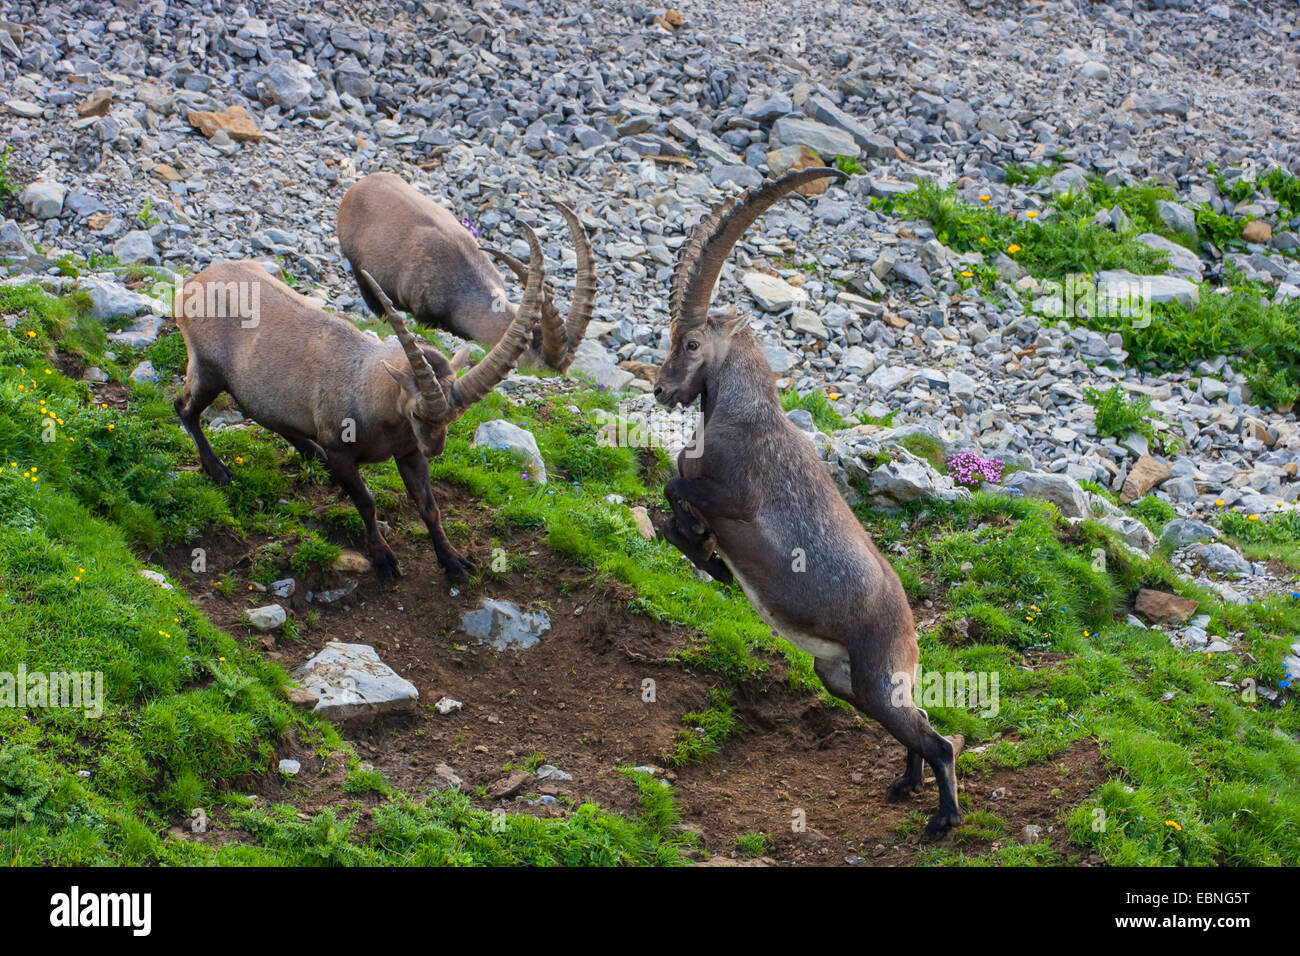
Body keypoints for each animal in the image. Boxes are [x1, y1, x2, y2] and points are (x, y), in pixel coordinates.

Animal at [172, 234, 543, 581]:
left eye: (455, 417)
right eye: (417, 412)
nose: (436, 448)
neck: (370, 391)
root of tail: (190, 285)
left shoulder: (409, 452)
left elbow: (428, 506)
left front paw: (453, 560)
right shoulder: (343, 453)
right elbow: (366, 501)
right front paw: (384, 558)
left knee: (259, 412)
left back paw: (310, 451)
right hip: (208, 370)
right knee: (184, 408)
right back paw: (218, 470)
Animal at [652, 167, 963, 836]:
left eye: (691, 344)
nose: (661, 391)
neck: (744, 417)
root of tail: (910, 625)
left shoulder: (733, 496)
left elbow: (675, 488)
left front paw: (707, 552)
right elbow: (671, 501)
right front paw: (704, 553)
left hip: (874, 676)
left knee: (941, 741)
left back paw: (944, 819)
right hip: (844, 678)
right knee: (919, 727)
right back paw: (905, 785)